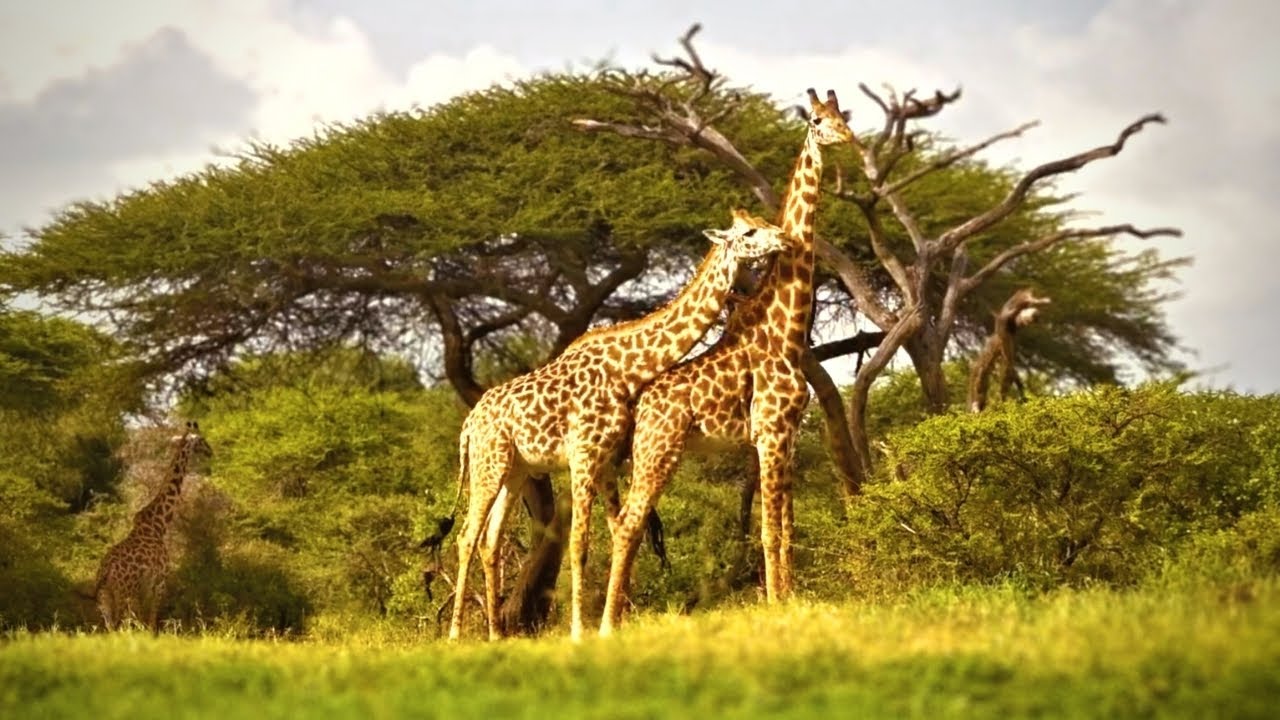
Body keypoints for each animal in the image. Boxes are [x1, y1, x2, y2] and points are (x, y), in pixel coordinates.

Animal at [93, 421, 212, 631]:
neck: (159, 524)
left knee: (110, 627)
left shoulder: (145, 588)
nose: (210, 451)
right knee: (118, 625)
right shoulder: (159, 583)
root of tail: (105, 571)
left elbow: (144, 621)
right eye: (202, 440)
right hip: (123, 593)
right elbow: (151, 622)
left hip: (105, 598)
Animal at [439, 209, 795, 641]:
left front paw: (616, 619)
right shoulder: (584, 455)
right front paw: (581, 631)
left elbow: (617, 531)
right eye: (749, 232)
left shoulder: (606, 461)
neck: (626, 370)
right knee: (466, 537)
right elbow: (580, 542)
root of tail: (468, 423)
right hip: (487, 466)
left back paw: (495, 634)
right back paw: (455, 635)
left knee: (490, 542)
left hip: (515, 470)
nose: (784, 239)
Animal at [600, 89, 854, 635]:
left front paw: (791, 599)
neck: (784, 327)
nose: (847, 138)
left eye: (844, 116)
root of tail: (635, 404)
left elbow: (787, 526)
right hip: (659, 449)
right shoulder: (770, 432)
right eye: (817, 120)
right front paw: (776, 604)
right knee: (628, 523)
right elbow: (768, 530)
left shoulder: (787, 434)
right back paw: (608, 624)